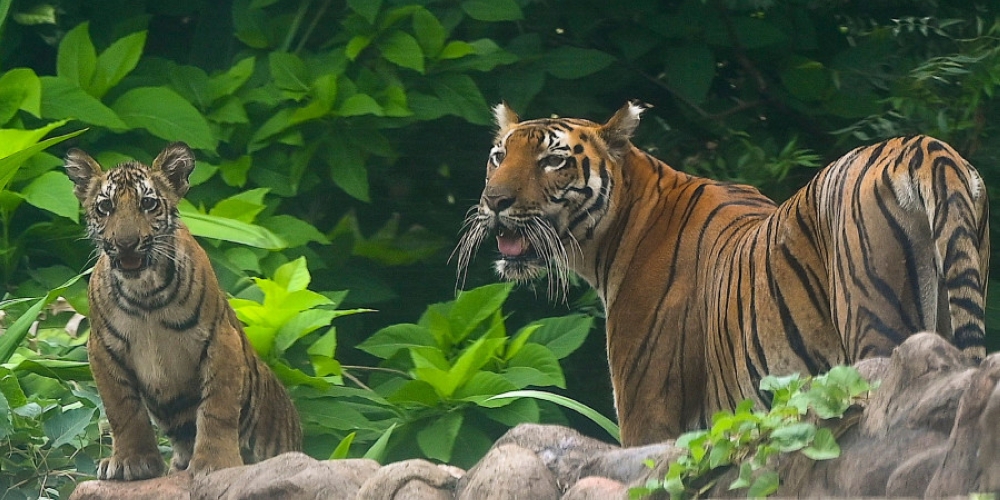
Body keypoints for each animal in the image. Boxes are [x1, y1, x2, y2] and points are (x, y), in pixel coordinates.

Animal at [64, 143, 302, 480]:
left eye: (148, 203)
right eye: (105, 207)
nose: (126, 243)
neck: (145, 293)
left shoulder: (221, 340)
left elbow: (218, 407)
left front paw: (215, 463)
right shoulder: (102, 349)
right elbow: (123, 409)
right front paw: (131, 461)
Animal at [454, 101, 990, 447]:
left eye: (553, 160)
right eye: (499, 156)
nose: (494, 201)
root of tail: (925, 146)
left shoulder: (648, 414)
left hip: (875, 324)